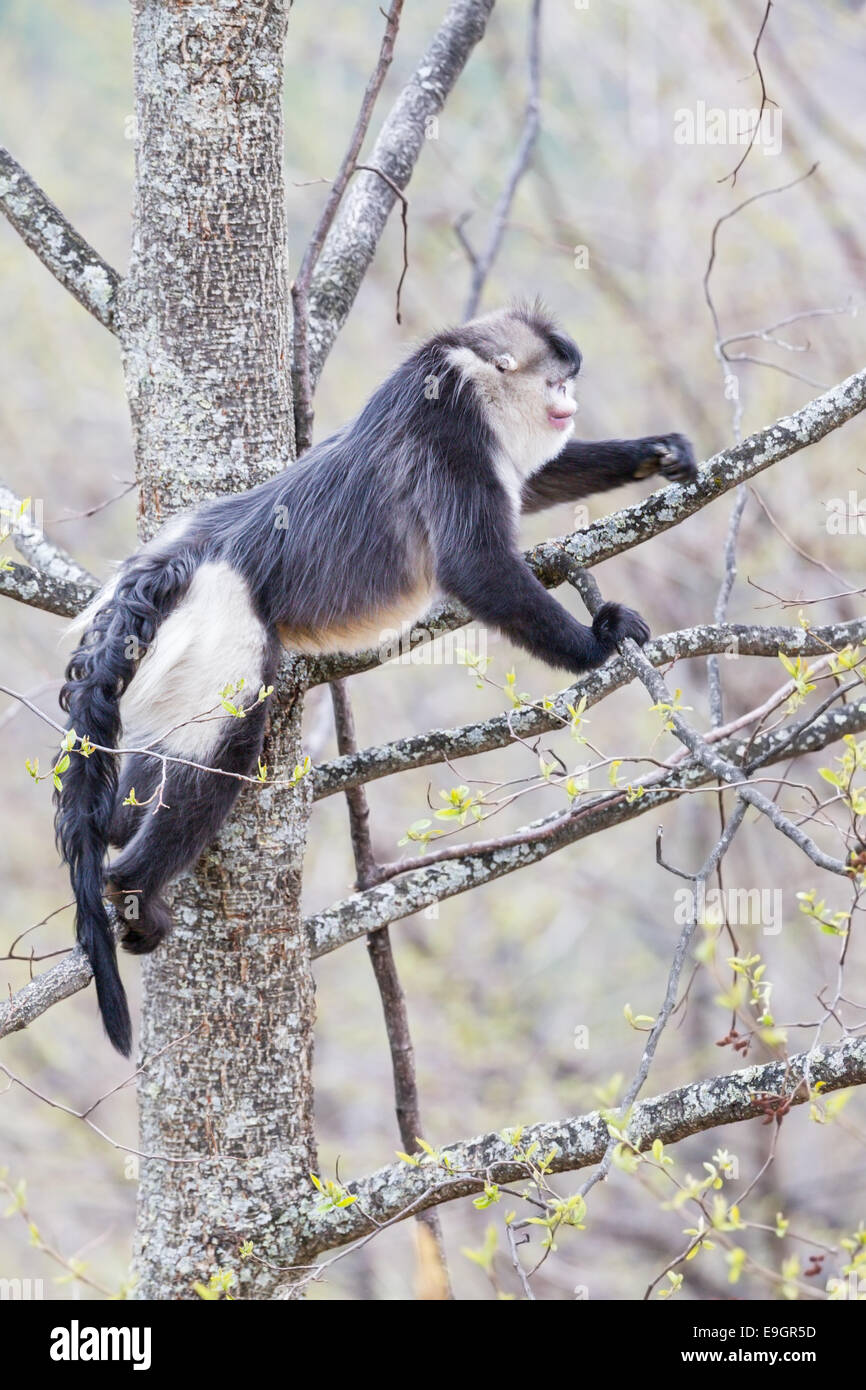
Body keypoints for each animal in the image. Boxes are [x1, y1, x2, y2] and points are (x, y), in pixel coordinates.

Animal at [55, 303, 697, 1054]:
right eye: (556, 382)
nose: (569, 405)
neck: (463, 377)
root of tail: (185, 558)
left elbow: (532, 484)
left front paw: (653, 453)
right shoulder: (449, 436)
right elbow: (476, 566)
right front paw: (597, 644)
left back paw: (122, 834)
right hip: (220, 627)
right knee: (230, 739)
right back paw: (134, 885)